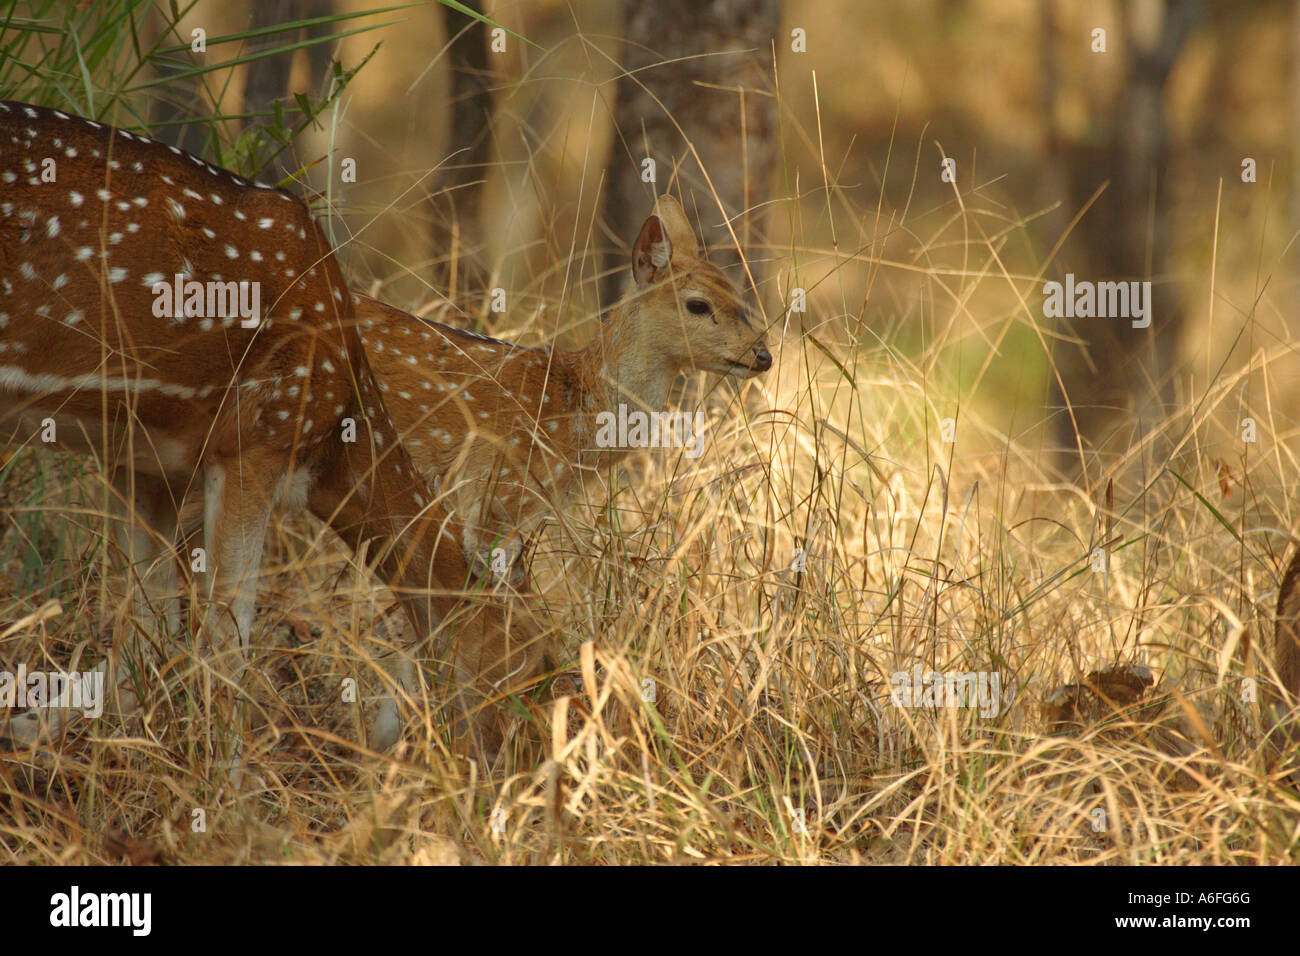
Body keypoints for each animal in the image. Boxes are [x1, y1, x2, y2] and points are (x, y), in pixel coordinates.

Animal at [0, 100, 543, 765]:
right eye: (535, 666)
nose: (520, 769)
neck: (334, 430)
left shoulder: (144, 461)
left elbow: (143, 638)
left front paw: (37, 731)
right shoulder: (257, 439)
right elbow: (223, 648)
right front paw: (227, 781)